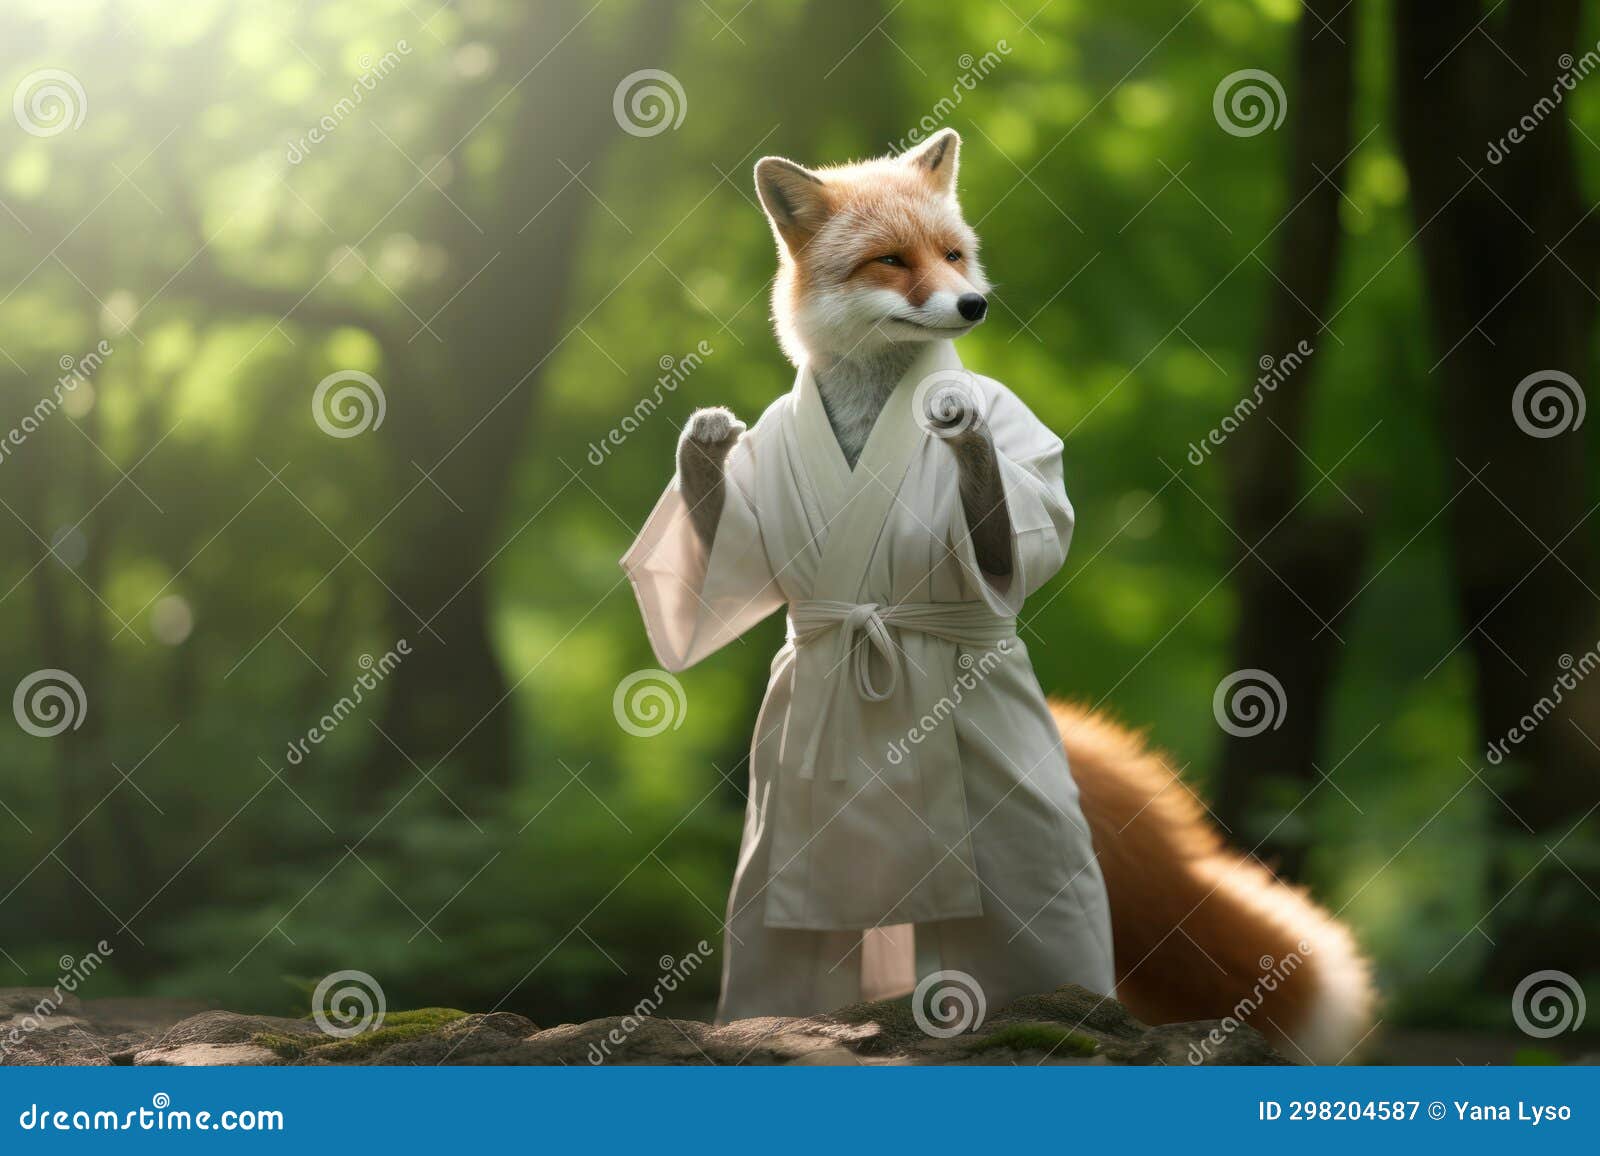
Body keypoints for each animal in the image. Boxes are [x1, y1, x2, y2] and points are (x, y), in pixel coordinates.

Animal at [674, 128, 1375, 1064]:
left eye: (952, 254)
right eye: (892, 261)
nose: (972, 306)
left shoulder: (1009, 505)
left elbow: (1005, 505)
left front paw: (962, 426)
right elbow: (732, 550)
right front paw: (702, 451)